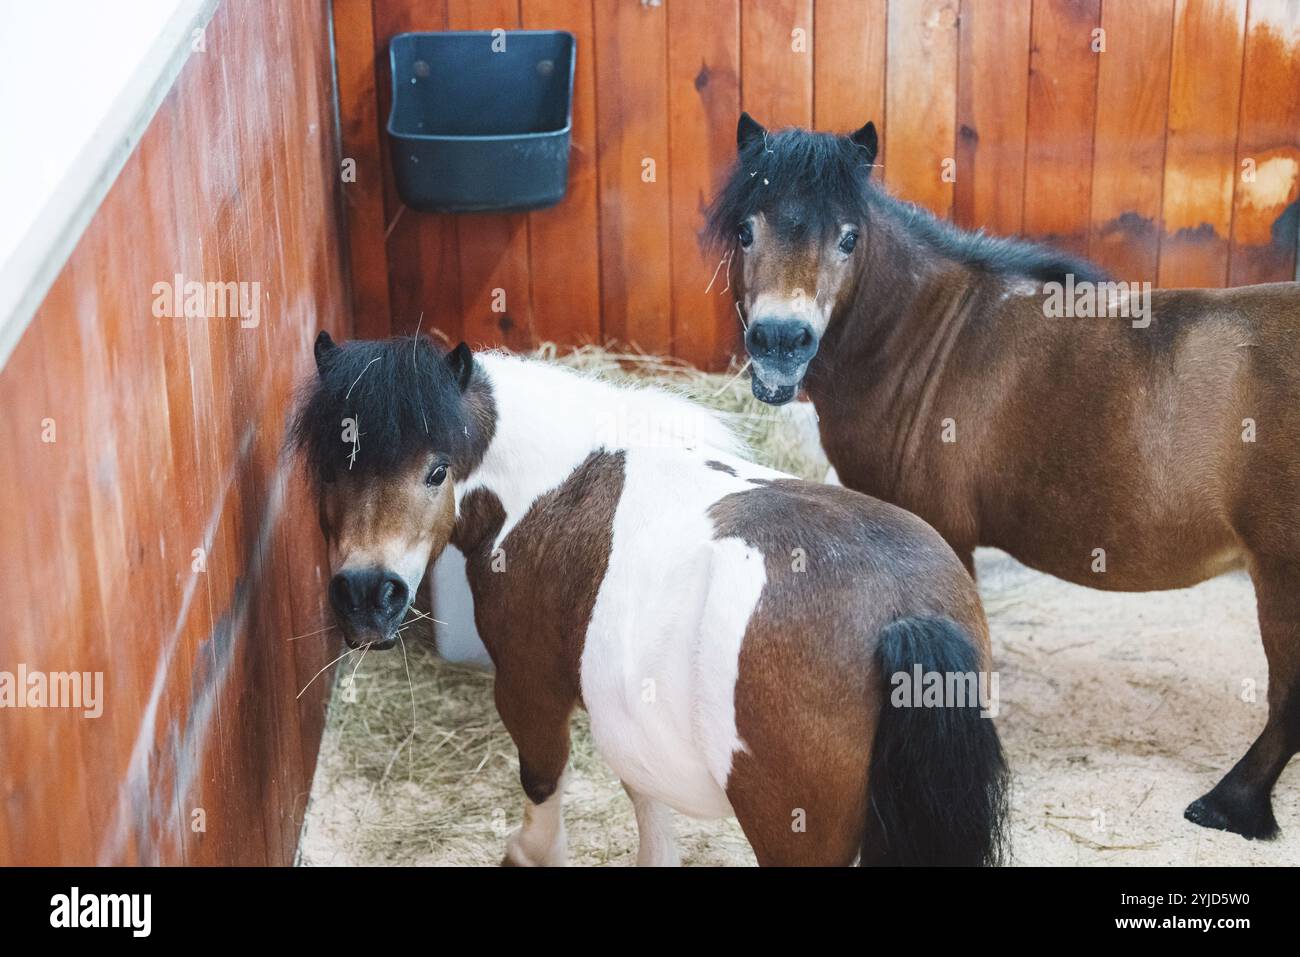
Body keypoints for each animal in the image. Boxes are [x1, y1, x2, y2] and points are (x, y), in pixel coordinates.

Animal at [291, 331, 1009, 866]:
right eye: (327, 467)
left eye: (437, 469)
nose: (367, 597)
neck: (551, 485)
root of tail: (905, 617)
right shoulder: (625, 707)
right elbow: (644, 795)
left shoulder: (528, 689)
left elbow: (543, 781)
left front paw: (530, 851)